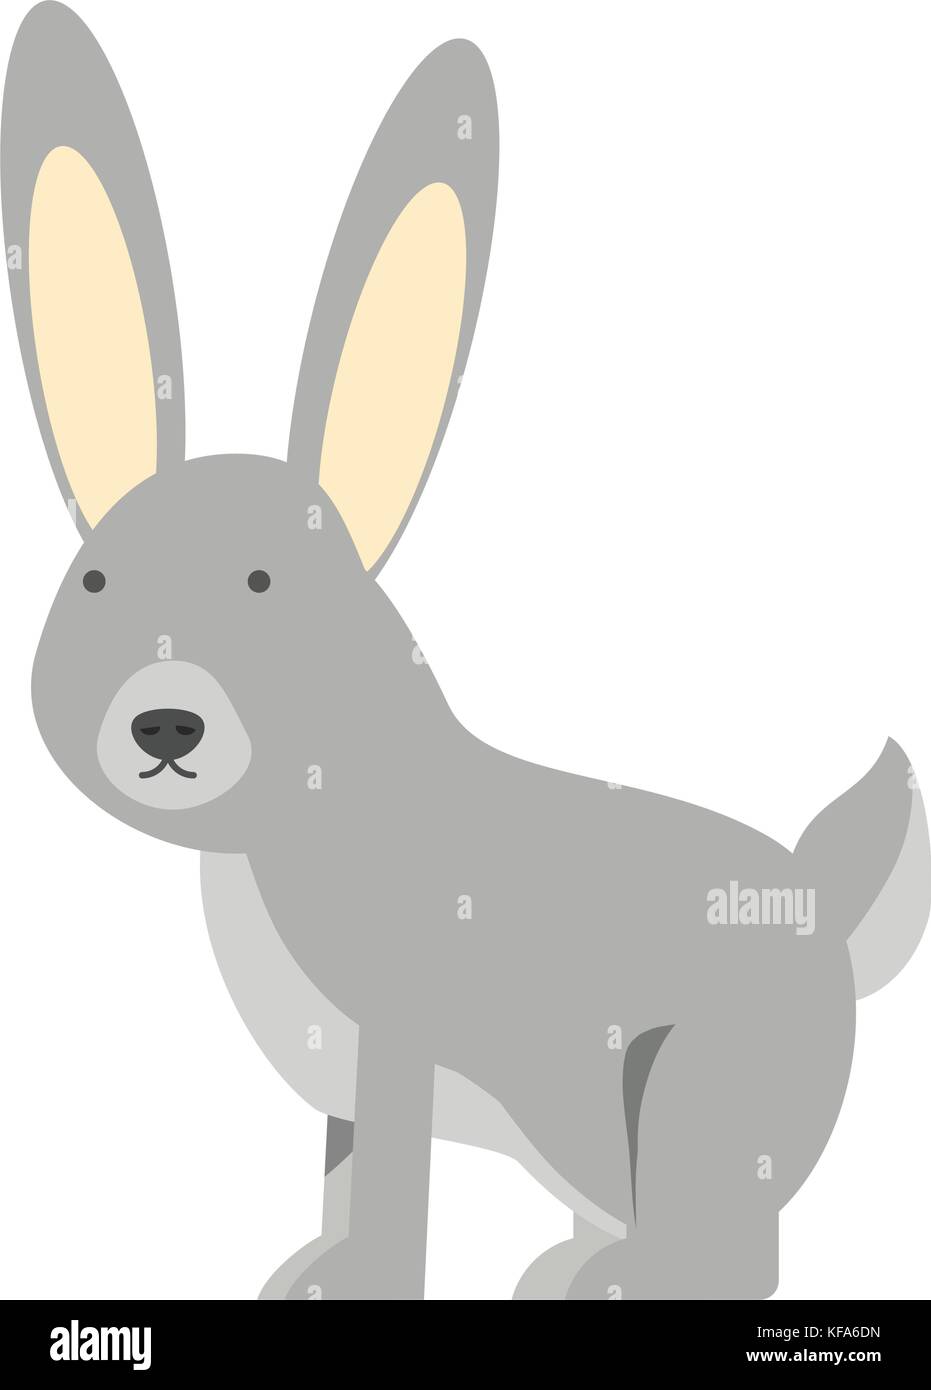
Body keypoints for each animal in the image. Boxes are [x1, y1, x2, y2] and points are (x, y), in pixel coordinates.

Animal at [4, 1, 930, 1301]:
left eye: (267, 585)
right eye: (92, 585)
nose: (166, 723)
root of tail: (821, 903)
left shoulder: (397, 1043)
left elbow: (394, 1191)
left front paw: (371, 1285)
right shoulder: (340, 1088)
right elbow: (341, 1182)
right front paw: (312, 1275)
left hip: (684, 1089)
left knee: (736, 1242)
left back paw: (621, 1279)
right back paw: (566, 1263)